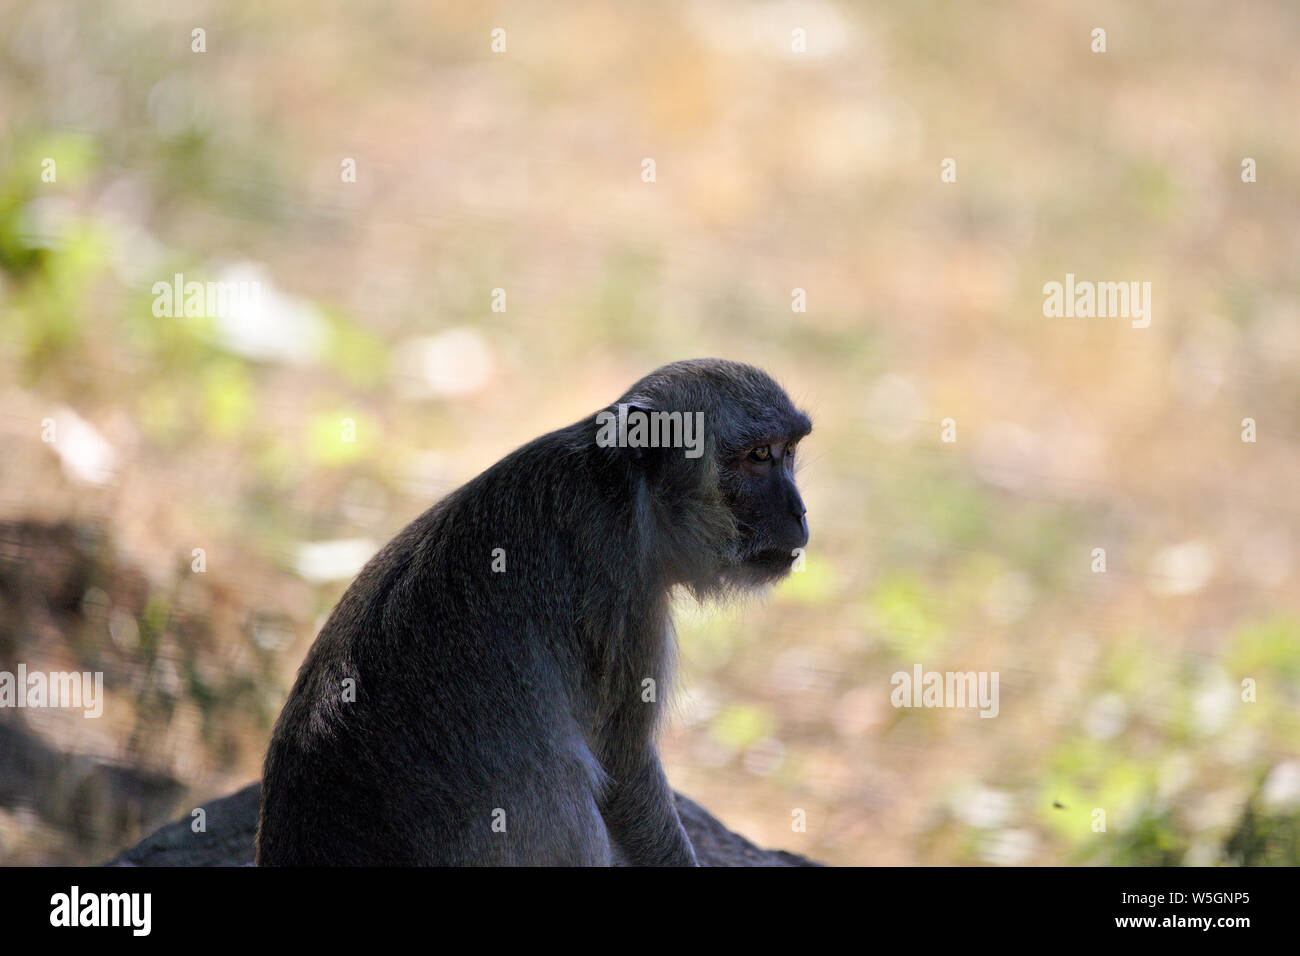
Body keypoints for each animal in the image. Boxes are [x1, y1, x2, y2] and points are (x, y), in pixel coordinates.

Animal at [256, 359, 811, 866]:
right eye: (758, 456)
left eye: (789, 452)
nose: (800, 510)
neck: (621, 487)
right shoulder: (621, 583)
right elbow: (623, 768)